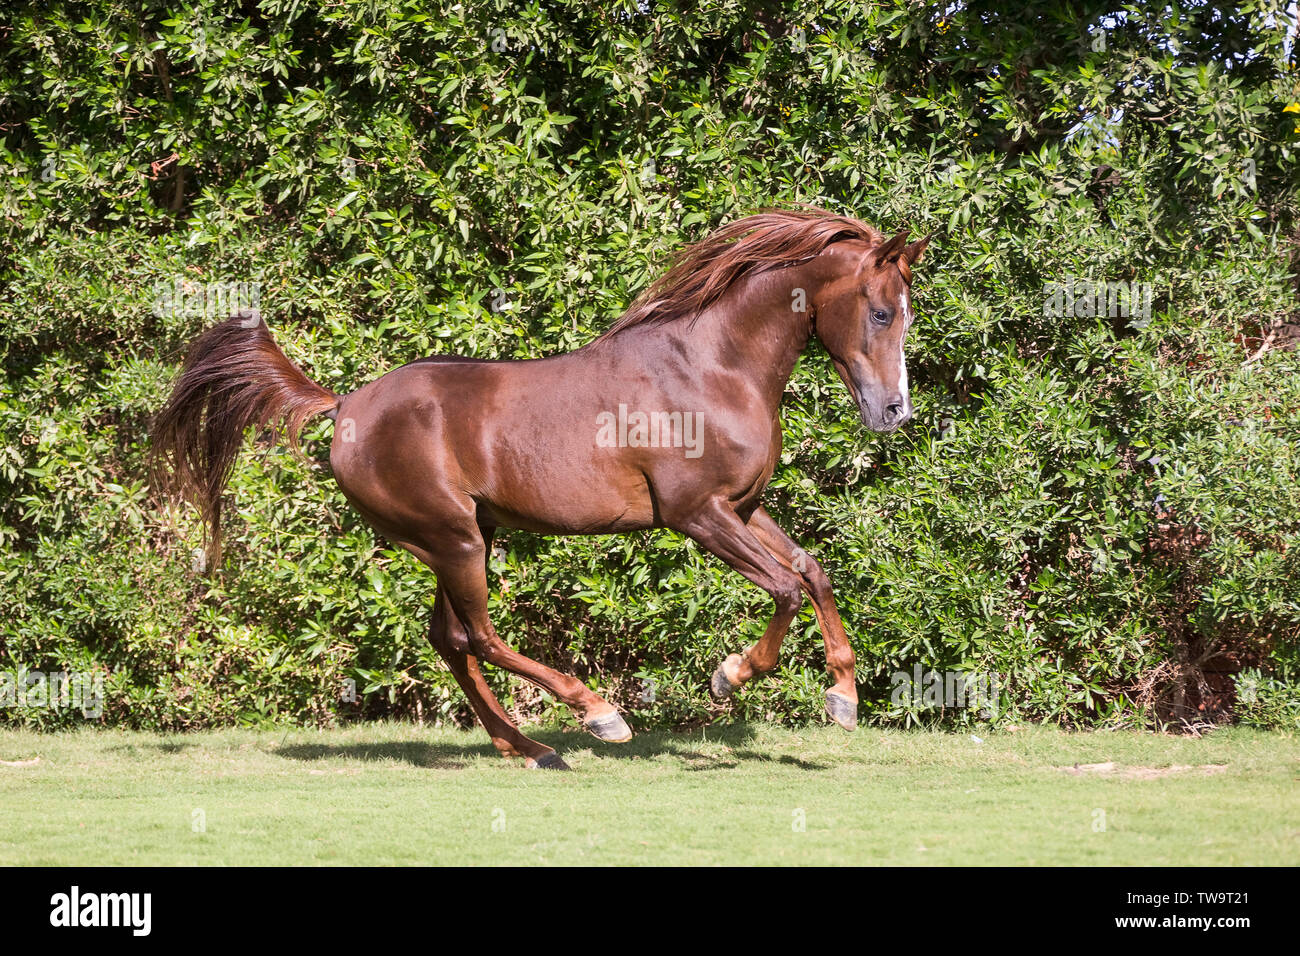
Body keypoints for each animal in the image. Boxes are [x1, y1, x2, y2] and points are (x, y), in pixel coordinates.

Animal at [151, 207, 930, 769]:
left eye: (907, 311)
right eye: (881, 311)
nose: (894, 412)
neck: (712, 365)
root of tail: (344, 407)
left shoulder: (744, 507)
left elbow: (813, 573)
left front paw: (842, 698)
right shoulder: (697, 514)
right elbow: (786, 589)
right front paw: (730, 676)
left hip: (467, 534)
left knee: (449, 639)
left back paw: (529, 748)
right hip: (453, 539)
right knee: (477, 636)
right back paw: (597, 714)